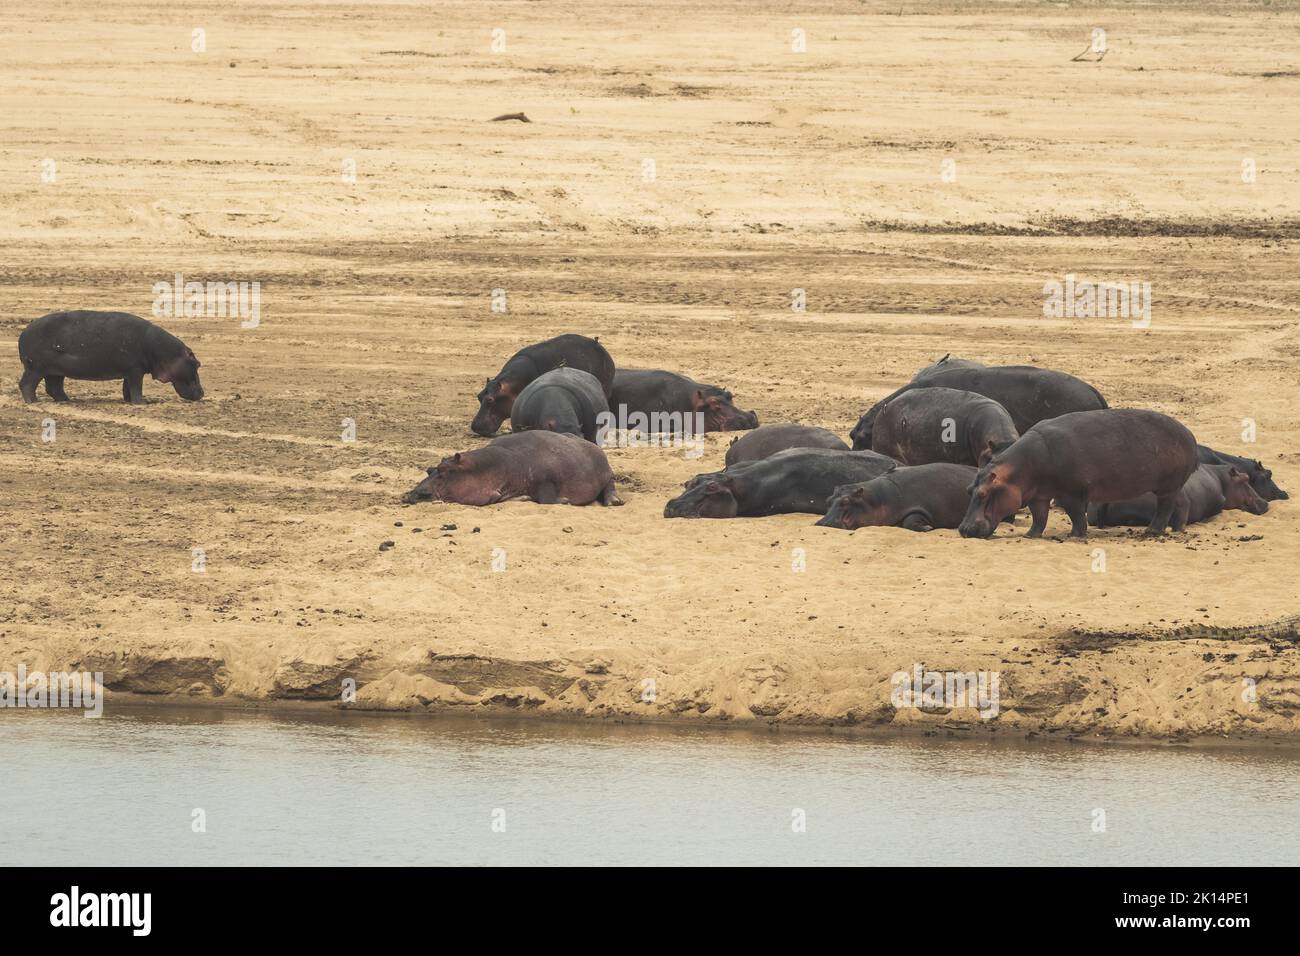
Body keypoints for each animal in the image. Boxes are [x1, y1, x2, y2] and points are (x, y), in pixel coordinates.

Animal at [18, 310, 204, 404]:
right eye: (197, 363)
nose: (202, 393)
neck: (165, 352)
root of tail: (24, 332)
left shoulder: (131, 370)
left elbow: (127, 388)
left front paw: (128, 401)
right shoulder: (135, 370)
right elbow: (136, 388)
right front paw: (143, 403)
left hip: (55, 371)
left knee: (53, 388)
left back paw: (69, 401)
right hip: (36, 368)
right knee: (27, 385)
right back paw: (34, 402)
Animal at [402, 431, 622, 506]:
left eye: (442, 469)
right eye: (429, 469)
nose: (411, 494)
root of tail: (594, 445)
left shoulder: (546, 479)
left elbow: (547, 497)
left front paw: (565, 501)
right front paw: (523, 498)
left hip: (607, 474)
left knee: (610, 486)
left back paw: (614, 502)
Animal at [817, 463, 978, 532]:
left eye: (846, 501)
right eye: (827, 500)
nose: (823, 523)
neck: (876, 499)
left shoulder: (920, 507)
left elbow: (910, 520)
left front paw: (927, 527)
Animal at [958, 408, 1198, 539]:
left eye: (983, 493)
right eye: (969, 490)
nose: (963, 529)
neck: (1018, 470)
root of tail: (1190, 434)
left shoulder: (1070, 493)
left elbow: (1075, 515)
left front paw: (1075, 535)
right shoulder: (1038, 495)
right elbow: (1039, 517)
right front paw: (1030, 535)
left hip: (1167, 485)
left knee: (1166, 507)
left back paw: (1152, 531)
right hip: (1172, 485)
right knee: (1181, 502)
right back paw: (1176, 529)